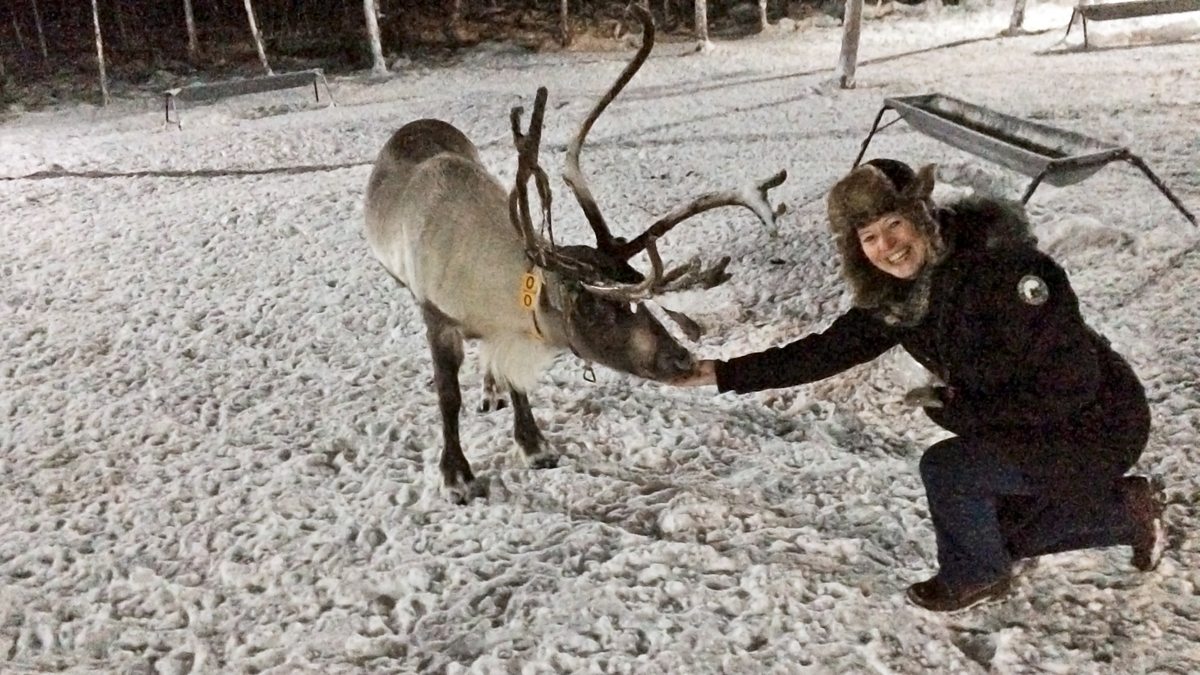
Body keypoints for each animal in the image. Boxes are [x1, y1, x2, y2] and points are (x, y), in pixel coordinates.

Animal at [363, 6, 786, 503]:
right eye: (595, 307)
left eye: (633, 287)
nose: (681, 358)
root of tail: (418, 122)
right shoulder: (437, 316)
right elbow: (448, 397)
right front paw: (457, 476)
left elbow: (516, 380)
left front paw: (534, 445)